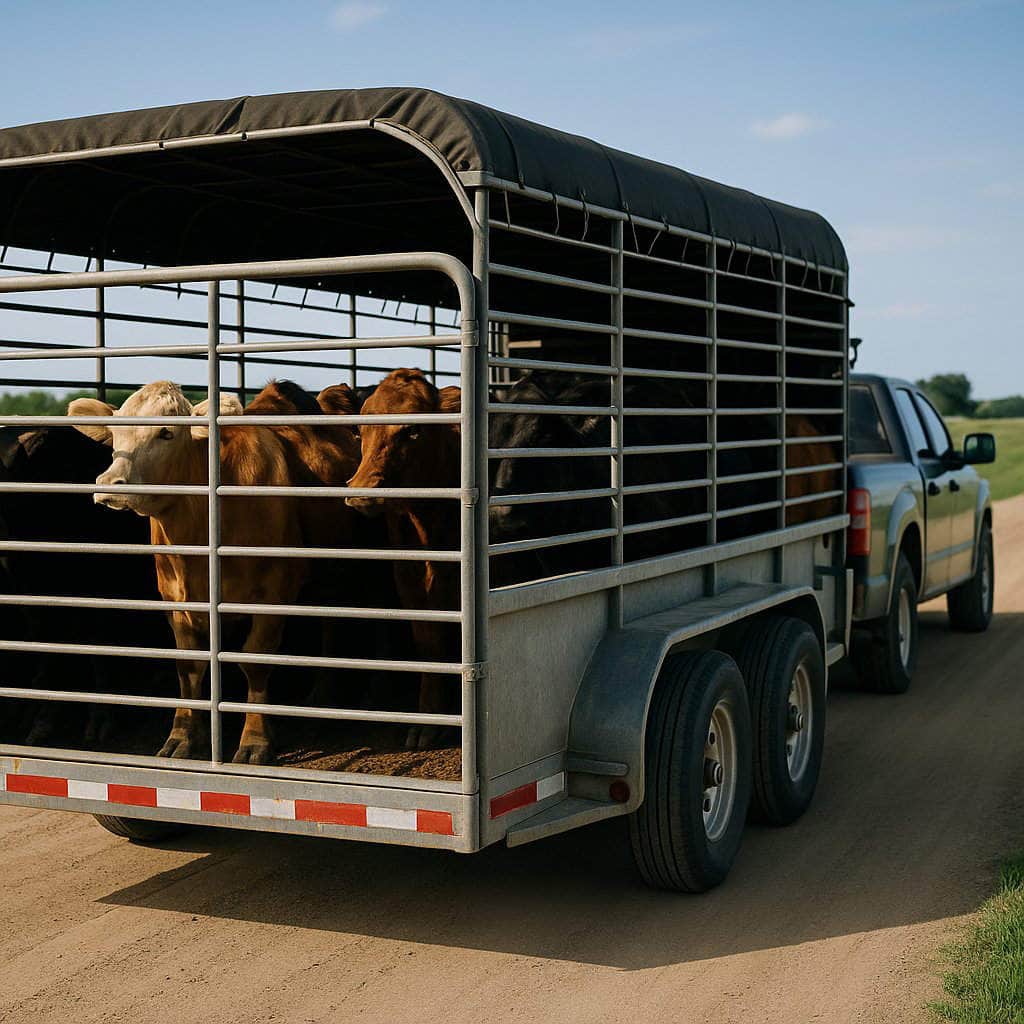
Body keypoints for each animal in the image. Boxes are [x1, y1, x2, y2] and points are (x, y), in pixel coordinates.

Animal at [68, 379, 358, 765]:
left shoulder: (273, 595)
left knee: (330, 627)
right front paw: (183, 736)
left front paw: (255, 740)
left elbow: (255, 661)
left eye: (166, 432)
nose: (109, 483)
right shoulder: (174, 598)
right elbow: (188, 666)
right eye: (116, 435)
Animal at [343, 368, 460, 750]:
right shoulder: (406, 575)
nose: (362, 494)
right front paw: (429, 718)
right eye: (359, 430)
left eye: (413, 430)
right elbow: (427, 640)